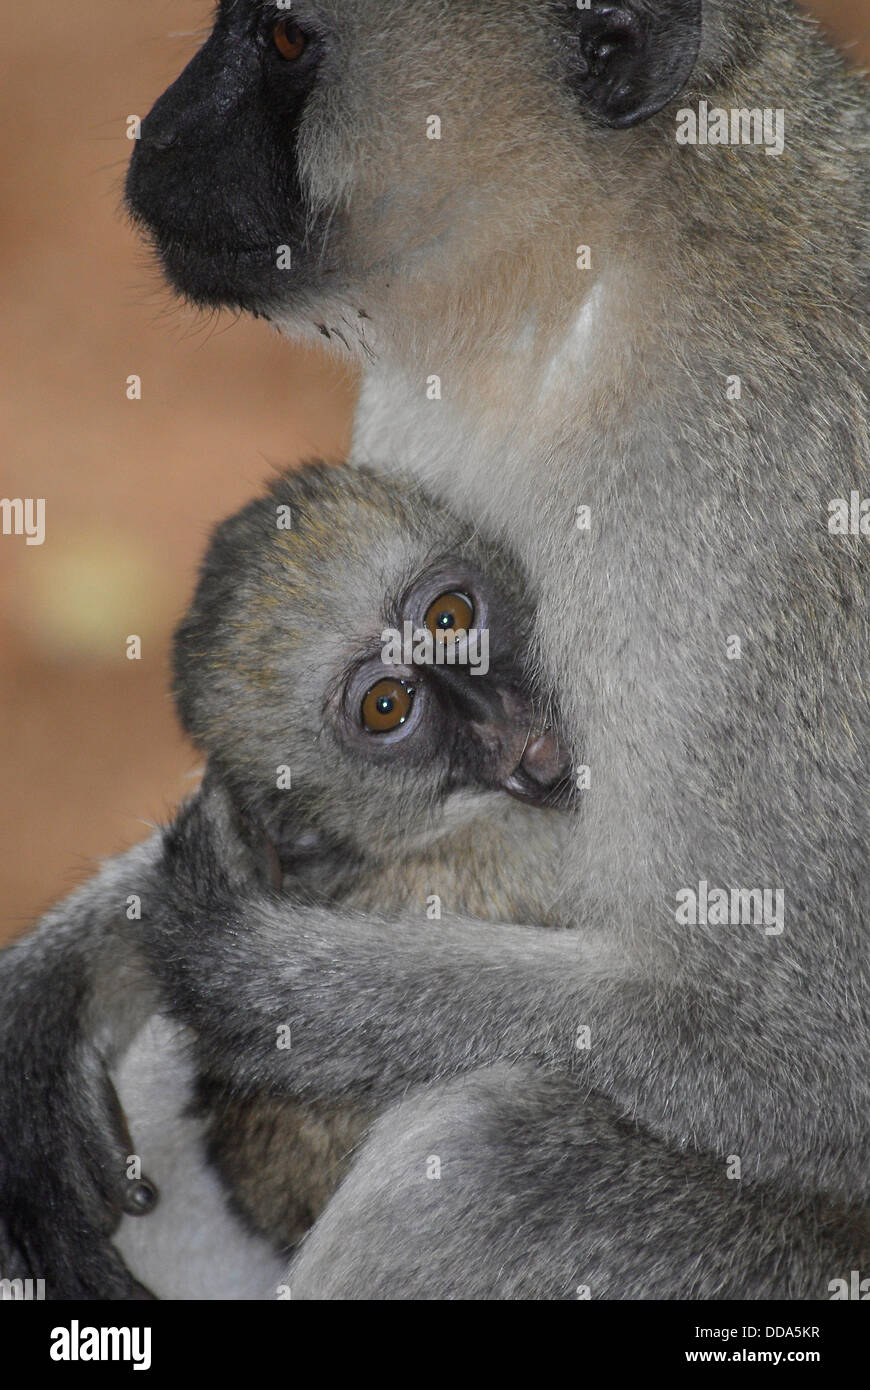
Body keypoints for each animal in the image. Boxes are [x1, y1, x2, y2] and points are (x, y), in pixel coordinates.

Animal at [1, 0, 868, 1297]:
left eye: (285, 45)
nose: (160, 135)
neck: (602, 261)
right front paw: (63, 983)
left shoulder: (782, 505)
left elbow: (798, 1062)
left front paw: (238, 963)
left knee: (480, 1168)